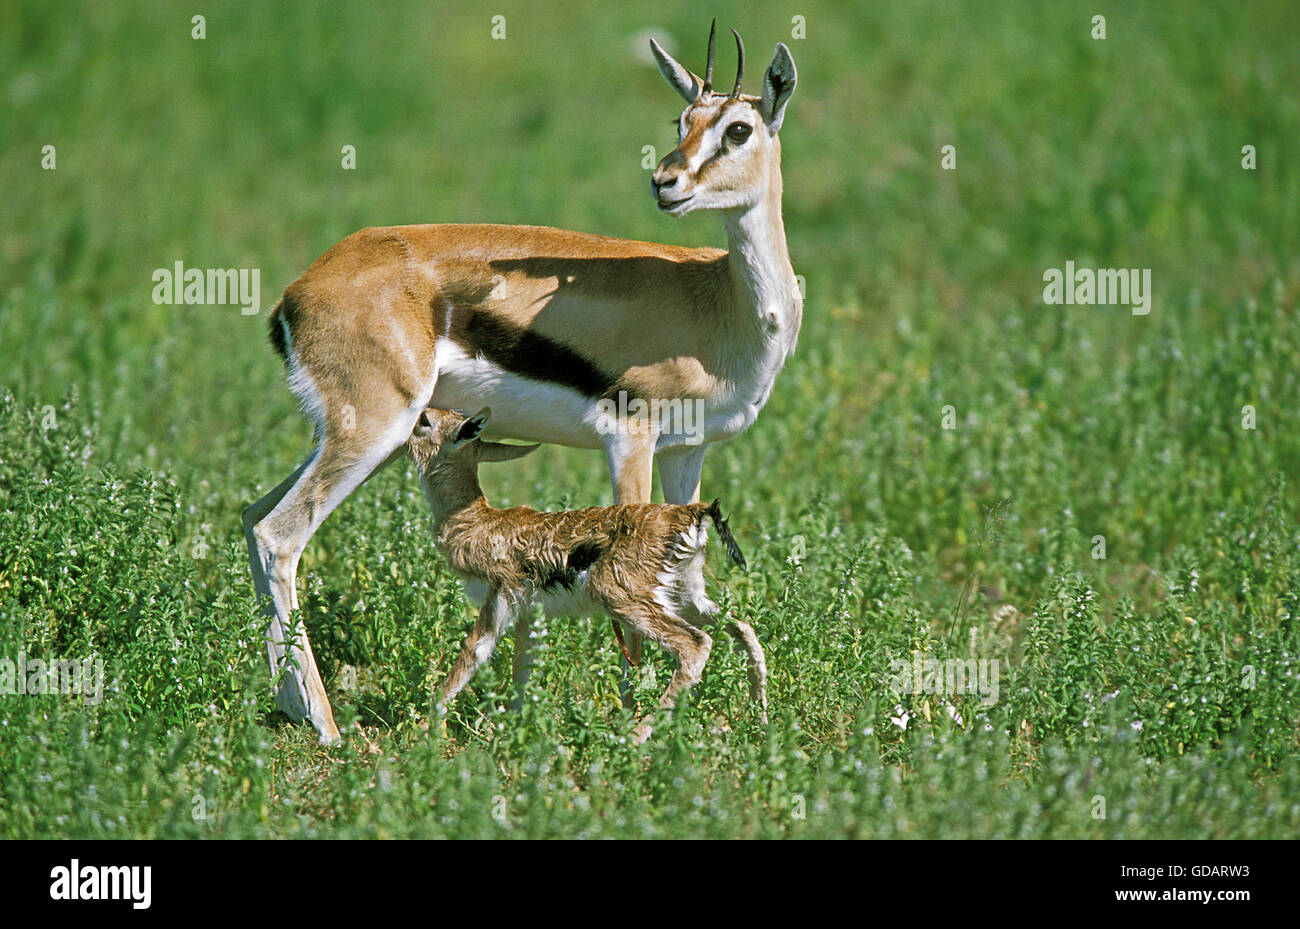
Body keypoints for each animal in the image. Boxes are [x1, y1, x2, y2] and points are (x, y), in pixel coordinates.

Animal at [407, 406, 767, 742]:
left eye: (424, 421)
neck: (475, 521)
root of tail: (690, 514)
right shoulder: (526, 615)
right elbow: (522, 671)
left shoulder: (499, 601)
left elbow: (469, 657)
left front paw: (418, 734)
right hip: (685, 598)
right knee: (743, 629)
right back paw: (760, 722)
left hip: (622, 597)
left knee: (695, 644)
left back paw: (633, 738)